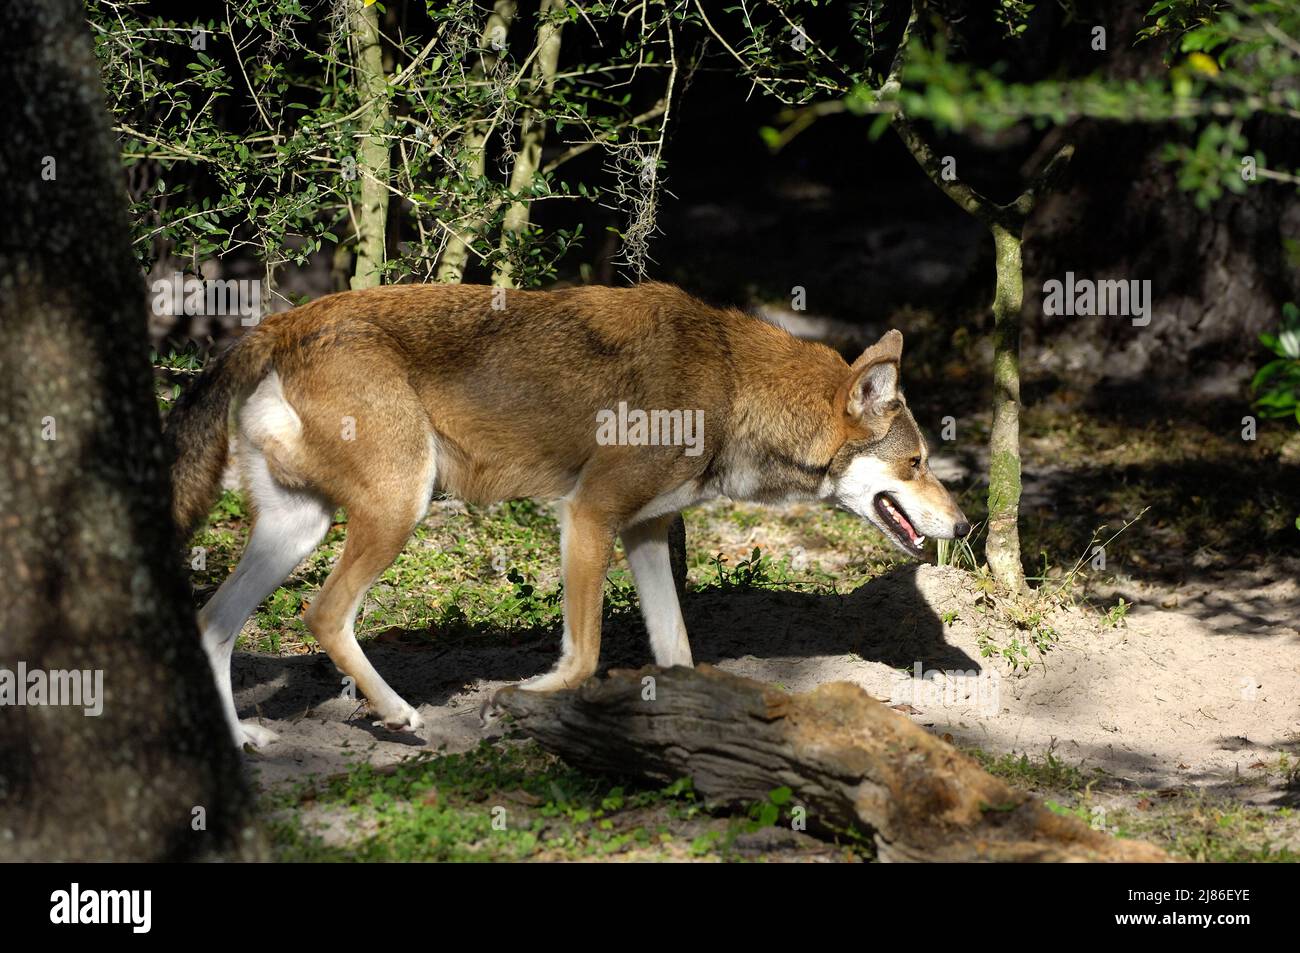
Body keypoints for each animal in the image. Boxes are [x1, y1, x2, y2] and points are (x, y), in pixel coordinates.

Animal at [165, 283, 969, 747]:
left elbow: (678, 654)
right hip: (398, 508)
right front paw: (517, 700)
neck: (731, 384)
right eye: (918, 462)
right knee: (325, 615)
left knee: (210, 628)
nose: (964, 526)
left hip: (300, 530)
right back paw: (398, 714)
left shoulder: (644, 532)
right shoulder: (588, 515)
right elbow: (582, 656)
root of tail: (286, 320)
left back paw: (241, 743)